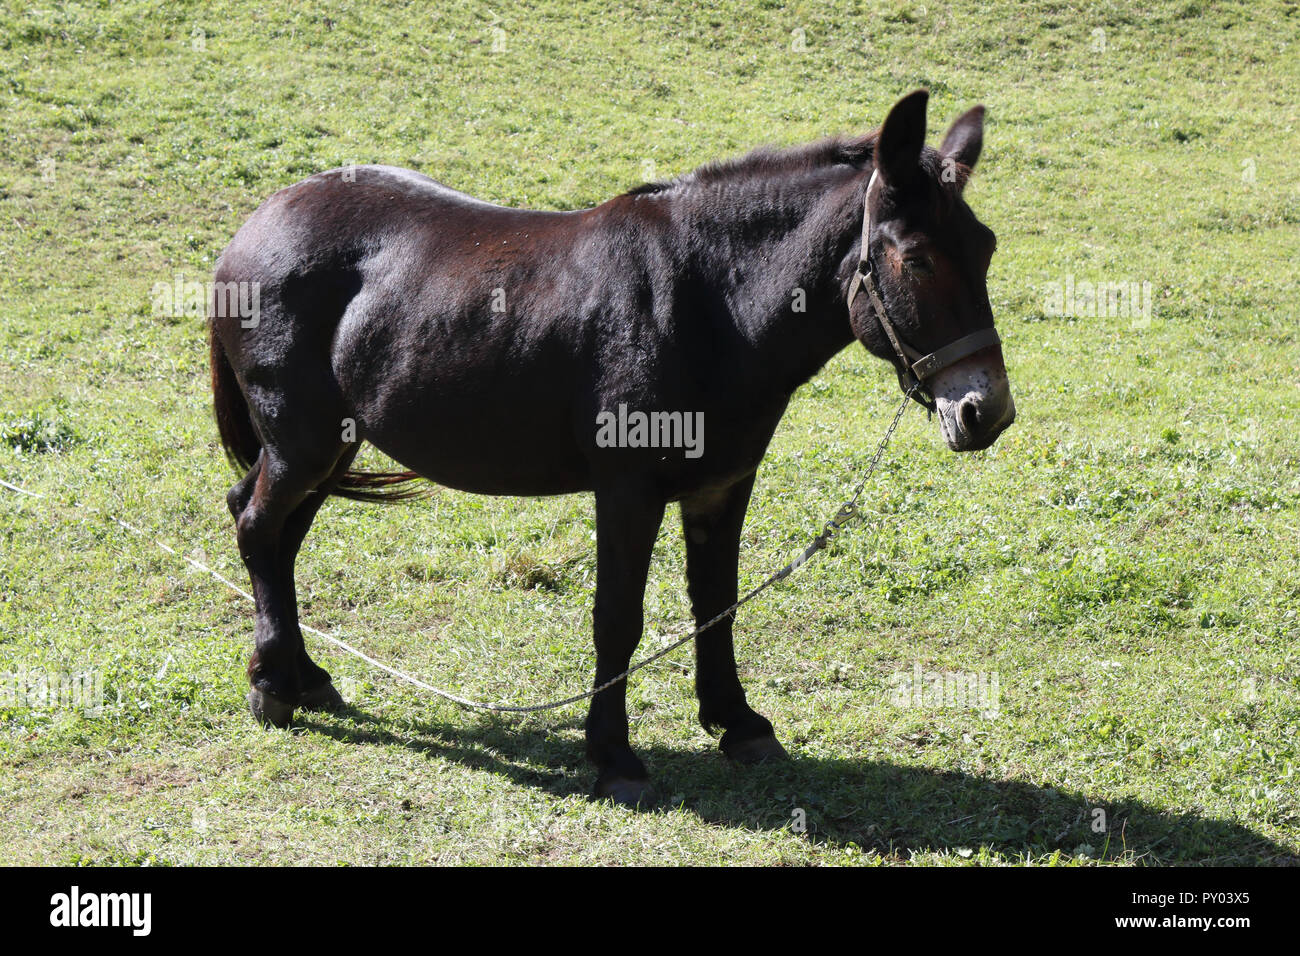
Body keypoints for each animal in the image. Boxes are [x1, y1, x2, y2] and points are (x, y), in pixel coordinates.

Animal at [208, 89, 1015, 806]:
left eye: (987, 249)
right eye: (916, 260)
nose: (988, 413)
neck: (709, 303)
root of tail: (260, 220)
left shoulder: (724, 482)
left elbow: (716, 601)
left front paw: (738, 723)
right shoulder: (627, 489)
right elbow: (617, 616)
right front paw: (615, 758)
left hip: (330, 447)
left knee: (277, 535)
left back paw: (305, 677)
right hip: (303, 440)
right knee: (257, 526)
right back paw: (272, 687)